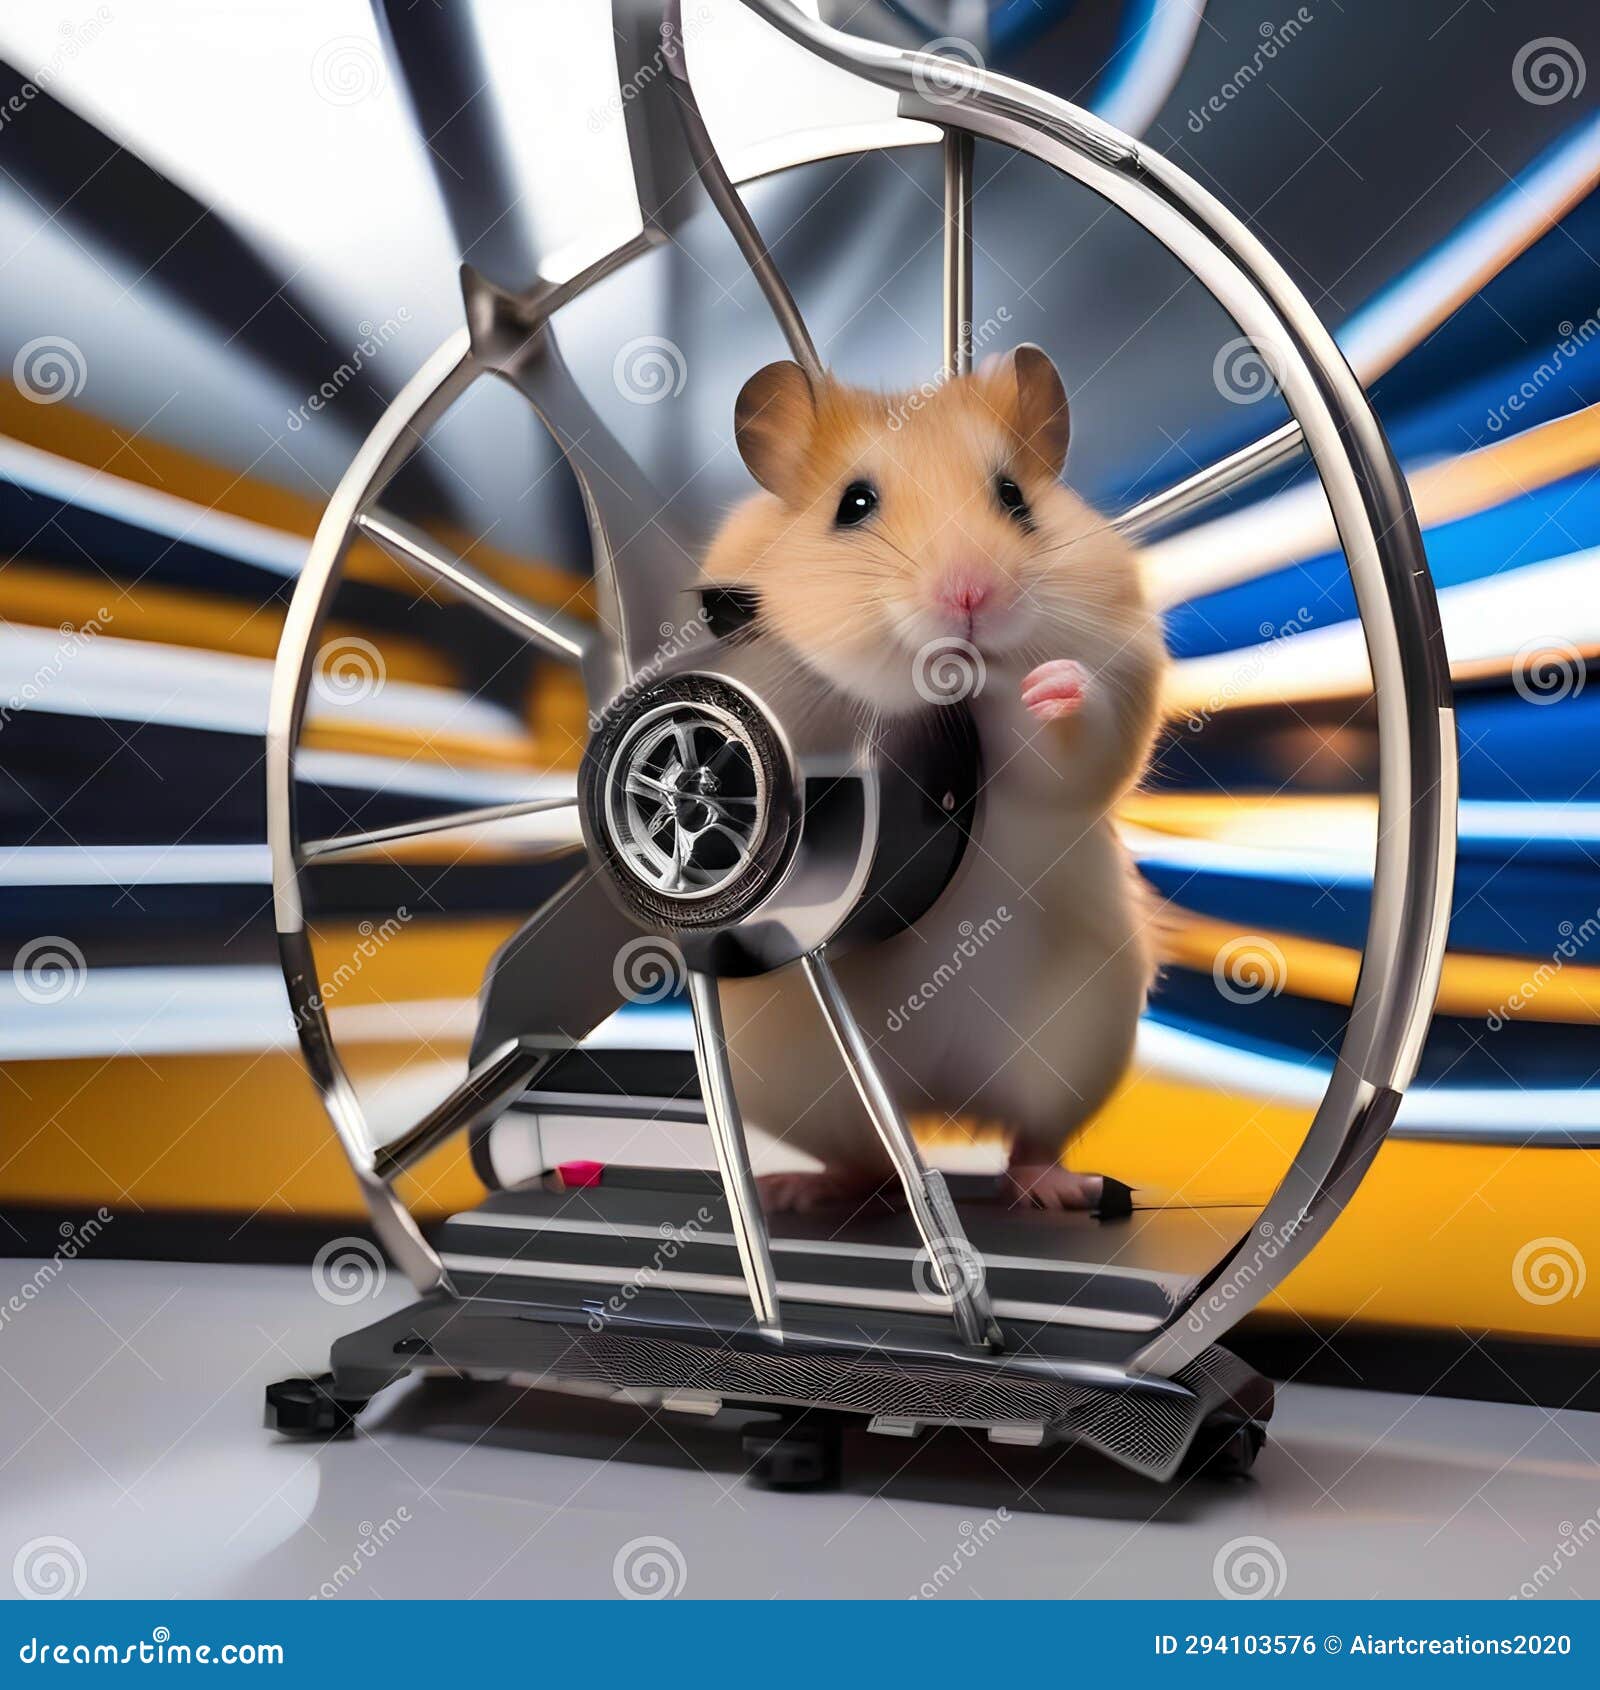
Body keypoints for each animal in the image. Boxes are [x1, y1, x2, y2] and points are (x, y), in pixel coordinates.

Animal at [700, 346, 1166, 1212]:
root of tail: (939, 1103)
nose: (971, 596)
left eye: (1014, 497)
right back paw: (793, 1192)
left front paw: (1051, 686)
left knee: (1030, 1139)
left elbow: (1074, 738)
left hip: (1078, 1045)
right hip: (803, 1086)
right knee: (867, 1159)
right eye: (853, 504)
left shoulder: (1121, 675)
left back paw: (1058, 1188)